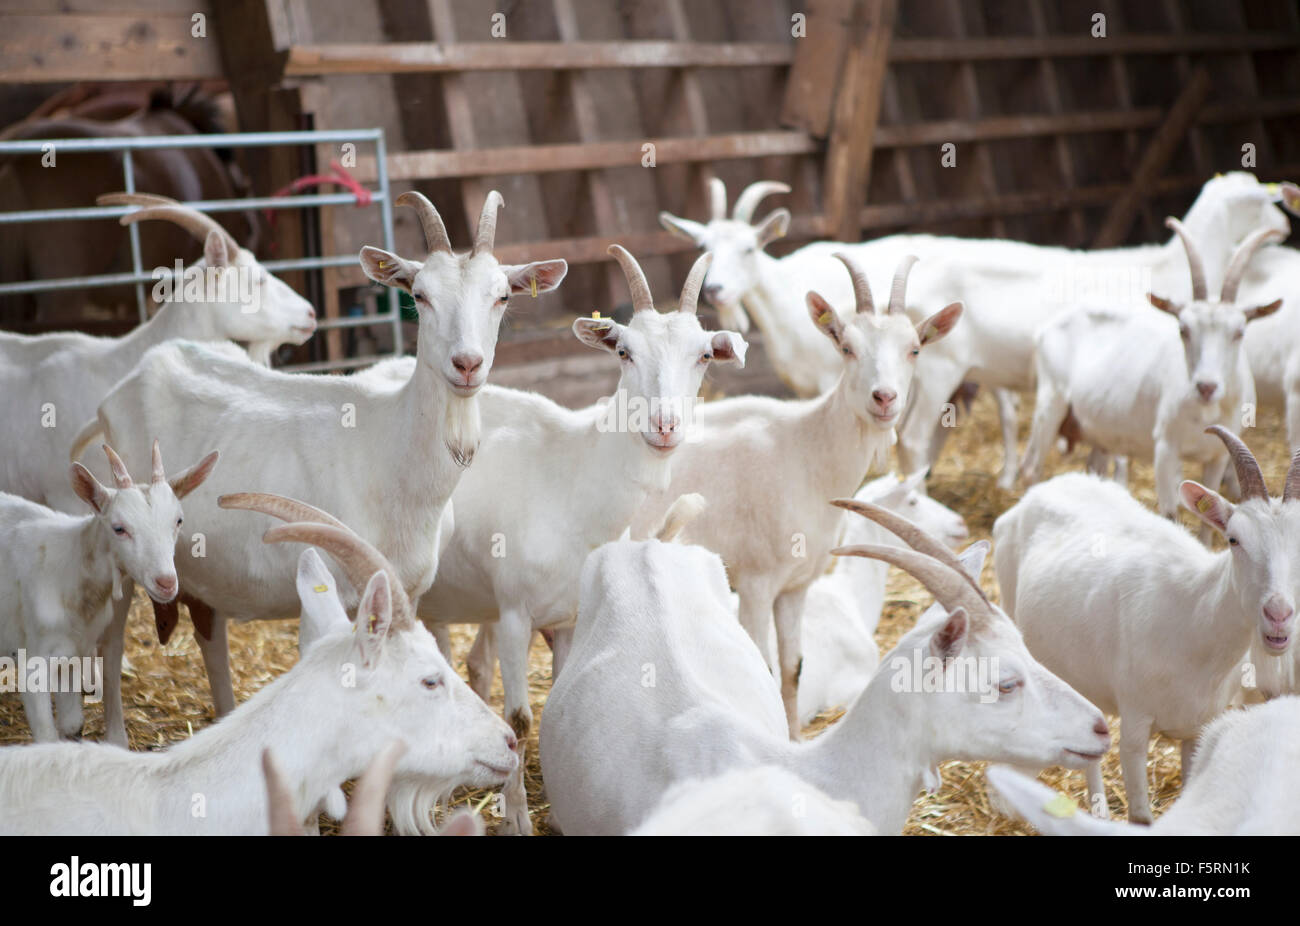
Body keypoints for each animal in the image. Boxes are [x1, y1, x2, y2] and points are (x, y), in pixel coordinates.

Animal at [75, 190, 566, 746]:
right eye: (419, 295)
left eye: (502, 296)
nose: (466, 364)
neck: (392, 456)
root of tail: (136, 374)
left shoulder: (412, 590)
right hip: (124, 545)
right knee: (113, 641)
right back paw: (117, 735)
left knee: (209, 628)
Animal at [992, 429, 1300, 823]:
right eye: (1233, 539)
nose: (1278, 615)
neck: (1192, 619)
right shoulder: (1136, 723)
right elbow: (1140, 816)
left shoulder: (1198, 728)